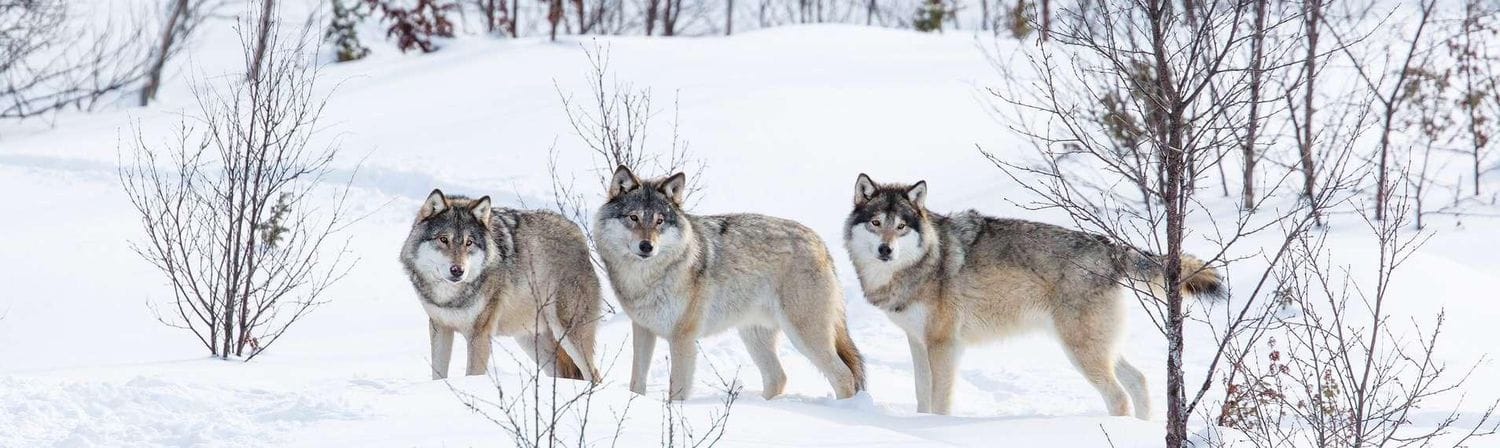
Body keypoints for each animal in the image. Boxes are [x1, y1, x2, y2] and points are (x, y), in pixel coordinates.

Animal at [401, 189, 601, 382]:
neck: (449, 297)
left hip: (567, 333)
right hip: (532, 341)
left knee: (594, 375)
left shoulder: (479, 334)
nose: (457, 270)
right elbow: (438, 375)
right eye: (443, 239)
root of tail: (579, 234)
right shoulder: (440, 327)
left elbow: (472, 375)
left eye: (469, 243)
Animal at [593, 166, 865, 401]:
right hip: (754, 336)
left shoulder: (682, 338)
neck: (646, 279)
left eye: (660, 221)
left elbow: (677, 392)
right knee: (778, 377)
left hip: (804, 335)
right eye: (633, 217)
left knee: (843, 376)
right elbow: (636, 382)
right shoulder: (643, 329)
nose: (646, 246)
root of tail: (820, 242)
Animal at [842, 174, 1222, 417]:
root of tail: (1110, 247)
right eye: (876, 223)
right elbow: (922, 394)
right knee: (1140, 382)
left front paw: (936, 427)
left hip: (1081, 351)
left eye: (901, 226)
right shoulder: (918, 342)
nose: (885, 250)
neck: (924, 262)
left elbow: (939, 400)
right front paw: (920, 424)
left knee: (1119, 397)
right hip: (1099, 347)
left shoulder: (944, 345)